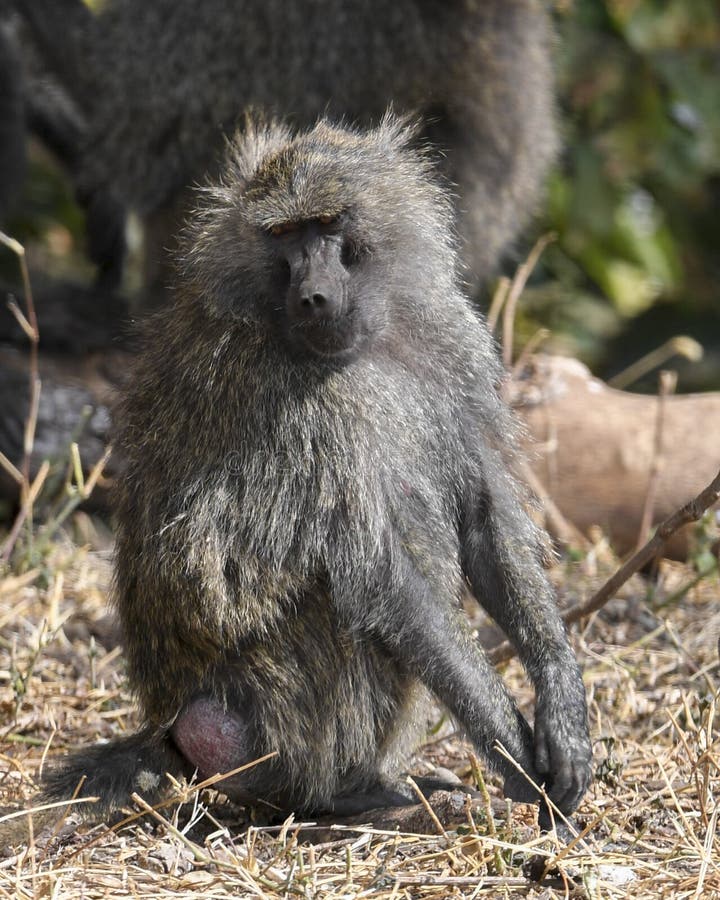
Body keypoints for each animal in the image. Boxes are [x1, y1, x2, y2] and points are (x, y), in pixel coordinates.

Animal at [43, 114, 592, 827]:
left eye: (327, 224)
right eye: (282, 235)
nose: (312, 295)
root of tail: (168, 719)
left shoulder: (448, 341)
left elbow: (483, 514)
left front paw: (561, 708)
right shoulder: (295, 407)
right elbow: (382, 577)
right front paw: (515, 751)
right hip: (261, 705)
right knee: (346, 594)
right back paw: (341, 797)